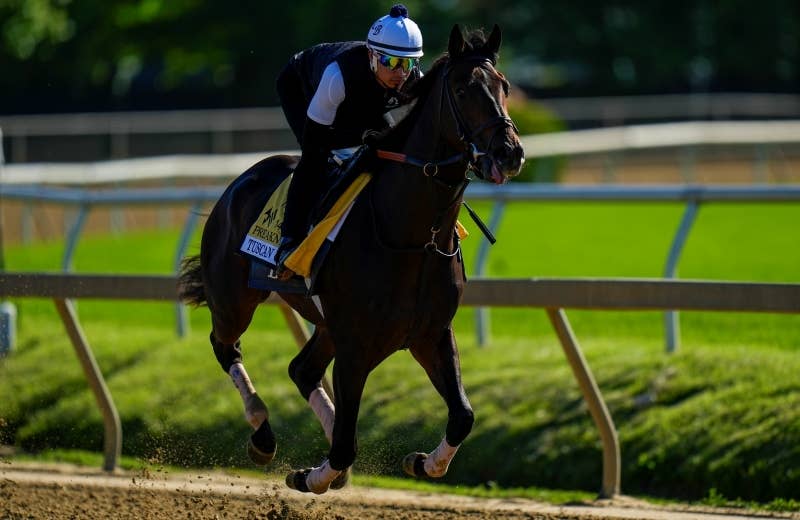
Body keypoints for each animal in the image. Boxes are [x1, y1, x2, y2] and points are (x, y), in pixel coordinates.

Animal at [177, 24, 524, 495]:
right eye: (462, 88)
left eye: (504, 86)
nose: (510, 152)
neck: (410, 236)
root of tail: (236, 184)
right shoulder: (356, 346)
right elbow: (345, 444)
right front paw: (311, 475)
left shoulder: (429, 334)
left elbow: (463, 416)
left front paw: (422, 463)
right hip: (234, 300)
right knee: (225, 345)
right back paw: (262, 433)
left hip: (326, 325)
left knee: (302, 370)